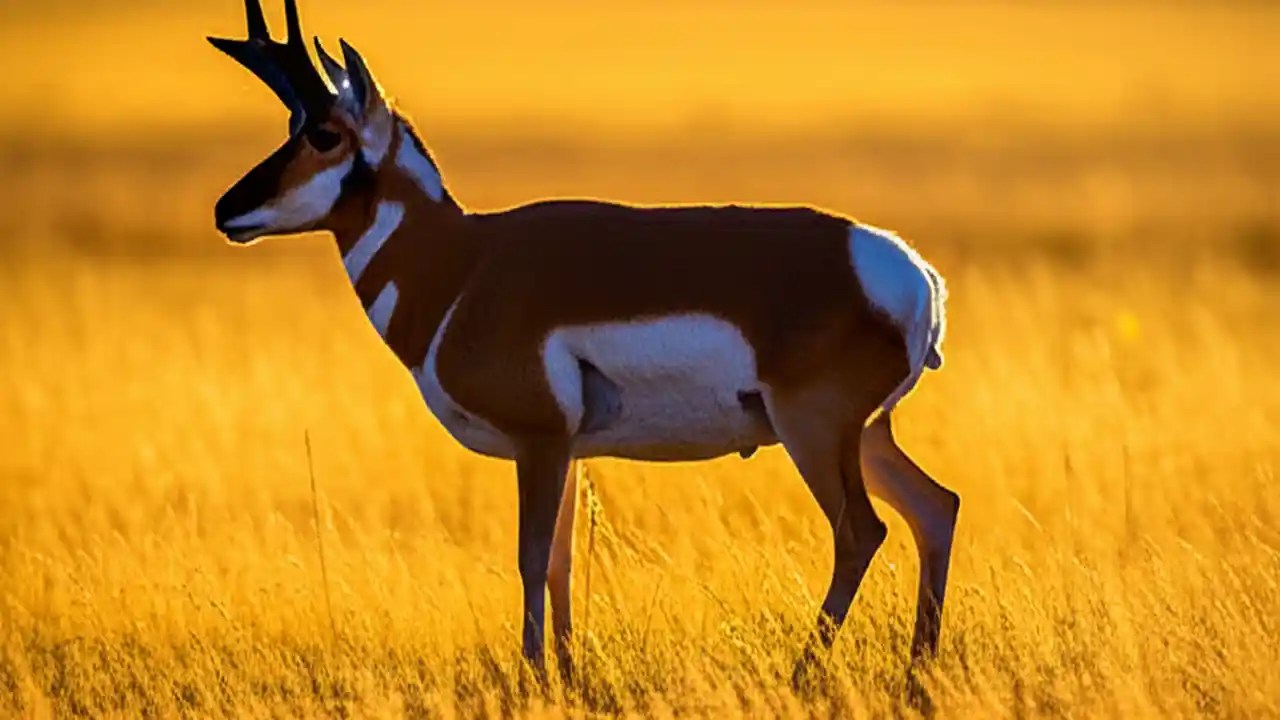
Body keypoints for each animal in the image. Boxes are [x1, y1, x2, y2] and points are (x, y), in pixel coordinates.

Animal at [208, 0, 958, 683]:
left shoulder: (538, 441)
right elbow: (561, 559)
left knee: (862, 531)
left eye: (325, 133)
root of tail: (914, 273)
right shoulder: (568, 450)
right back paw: (917, 673)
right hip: (866, 433)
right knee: (935, 508)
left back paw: (804, 674)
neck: (463, 265)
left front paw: (533, 673)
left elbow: (531, 555)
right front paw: (567, 674)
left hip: (815, 431)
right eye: (292, 125)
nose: (227, 210)